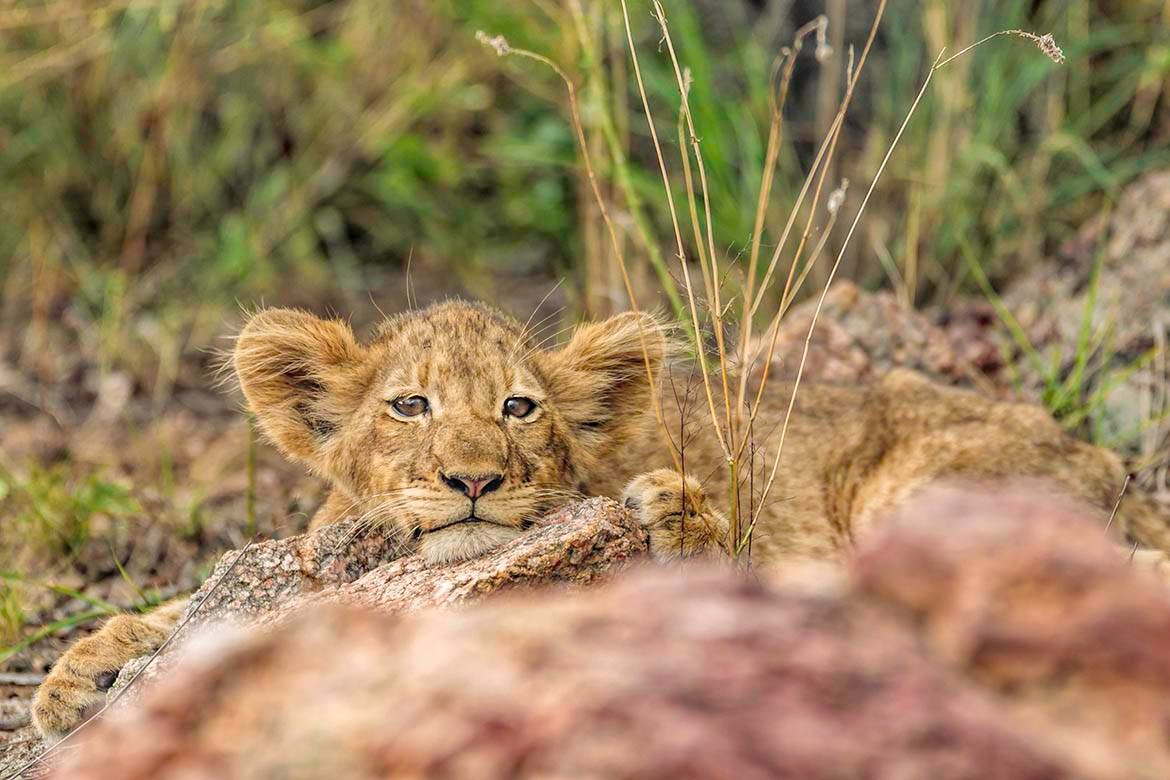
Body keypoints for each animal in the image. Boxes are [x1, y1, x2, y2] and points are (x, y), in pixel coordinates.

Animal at [31, 300, 1170, 740]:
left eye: (518, 408)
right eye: (410, 406)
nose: (474, 482)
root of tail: (1112, 464)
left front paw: (674, 512)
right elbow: (186, 603)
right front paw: (69, 678)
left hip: (929, 486)